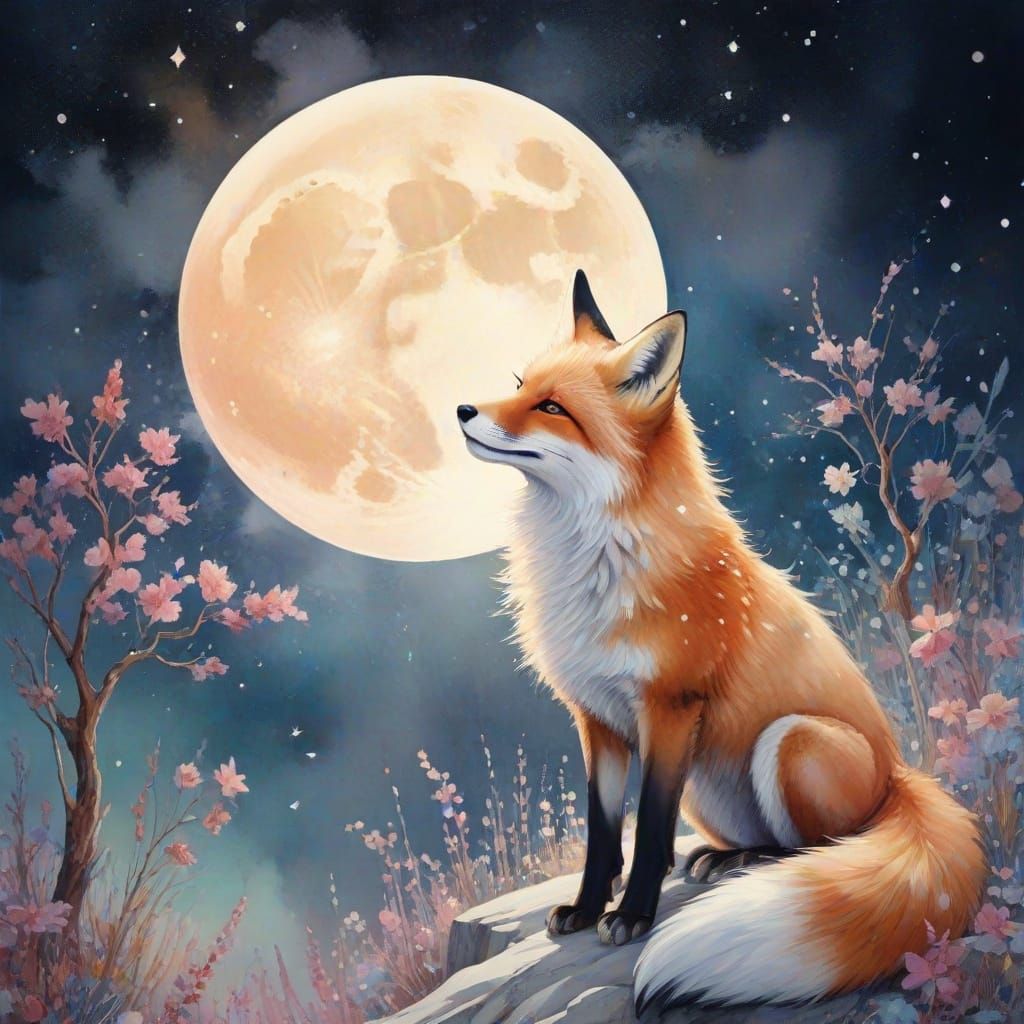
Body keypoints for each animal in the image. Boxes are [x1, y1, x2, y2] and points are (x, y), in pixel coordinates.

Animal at [456, 270, 985, 1011]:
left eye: (553, 408)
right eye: (520, 383)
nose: (462, 410)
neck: (594, 561)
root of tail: (900, 776)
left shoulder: (671, 708)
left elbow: (648, 832)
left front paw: (632, 916)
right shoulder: (596, 718)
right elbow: (601, 833)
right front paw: (587, 909)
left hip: (792, 742)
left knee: (821, 848)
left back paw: (763, 870)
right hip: (709, 790)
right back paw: (726, 857)